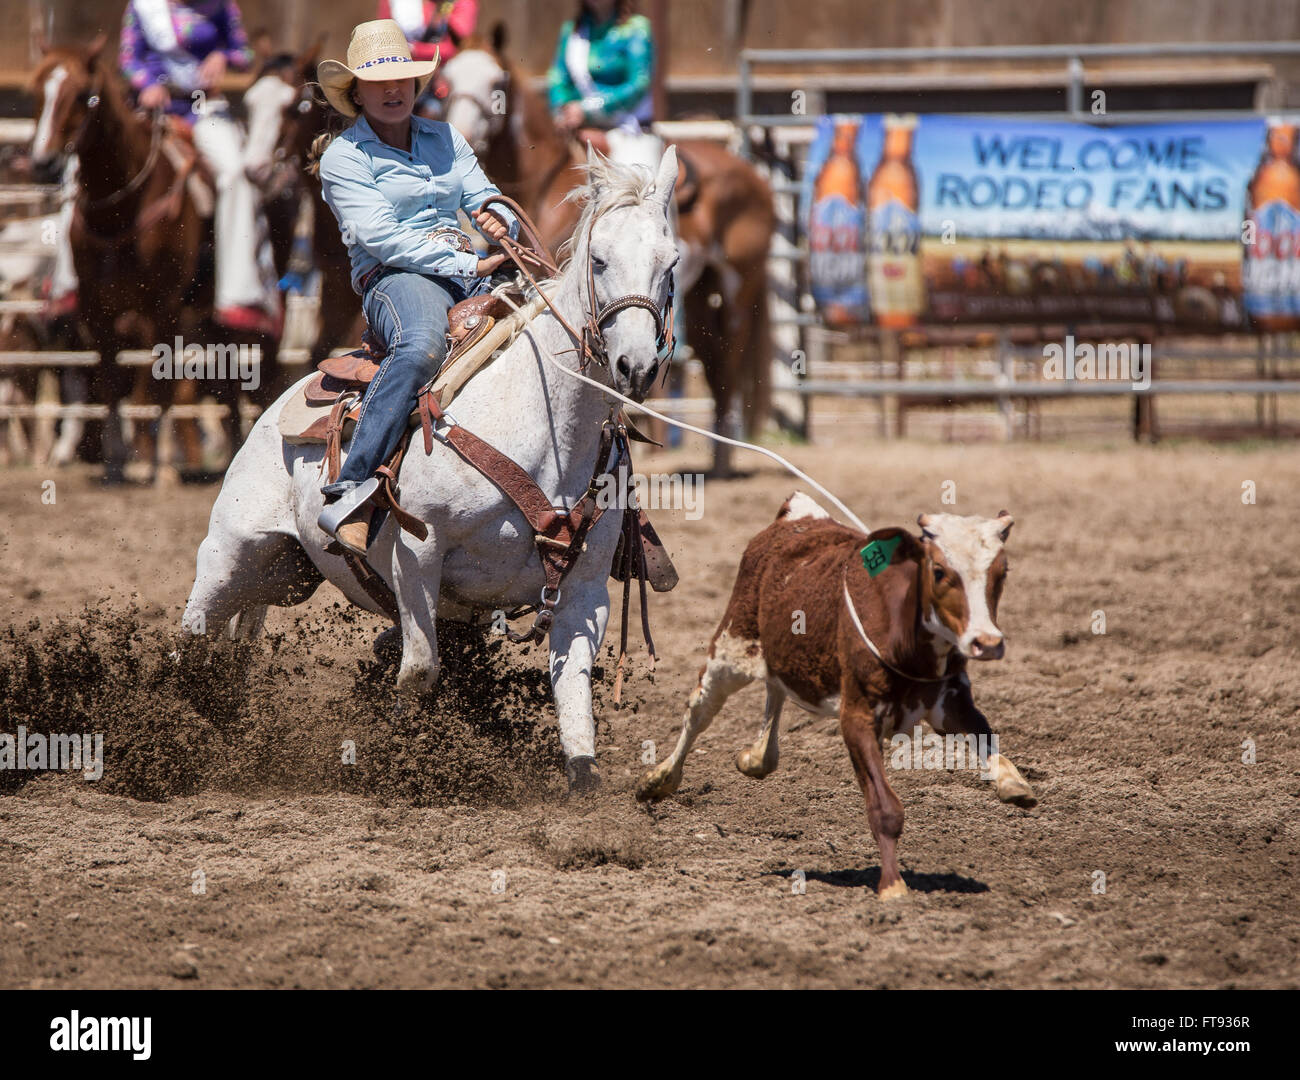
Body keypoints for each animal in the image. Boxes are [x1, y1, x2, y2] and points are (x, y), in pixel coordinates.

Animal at [636, 491, 1035, 900]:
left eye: (1002, 571)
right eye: (939, 571)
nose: (987, 642)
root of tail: (796, 517)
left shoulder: (951, 703)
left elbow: (984, 733)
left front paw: (1013, 783)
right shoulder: (856, 718)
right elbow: (885, 808)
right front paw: (892, 886)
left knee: (775, 688)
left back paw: (756, 756)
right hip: (732, 644)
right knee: (700, 710)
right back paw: (658, 779)